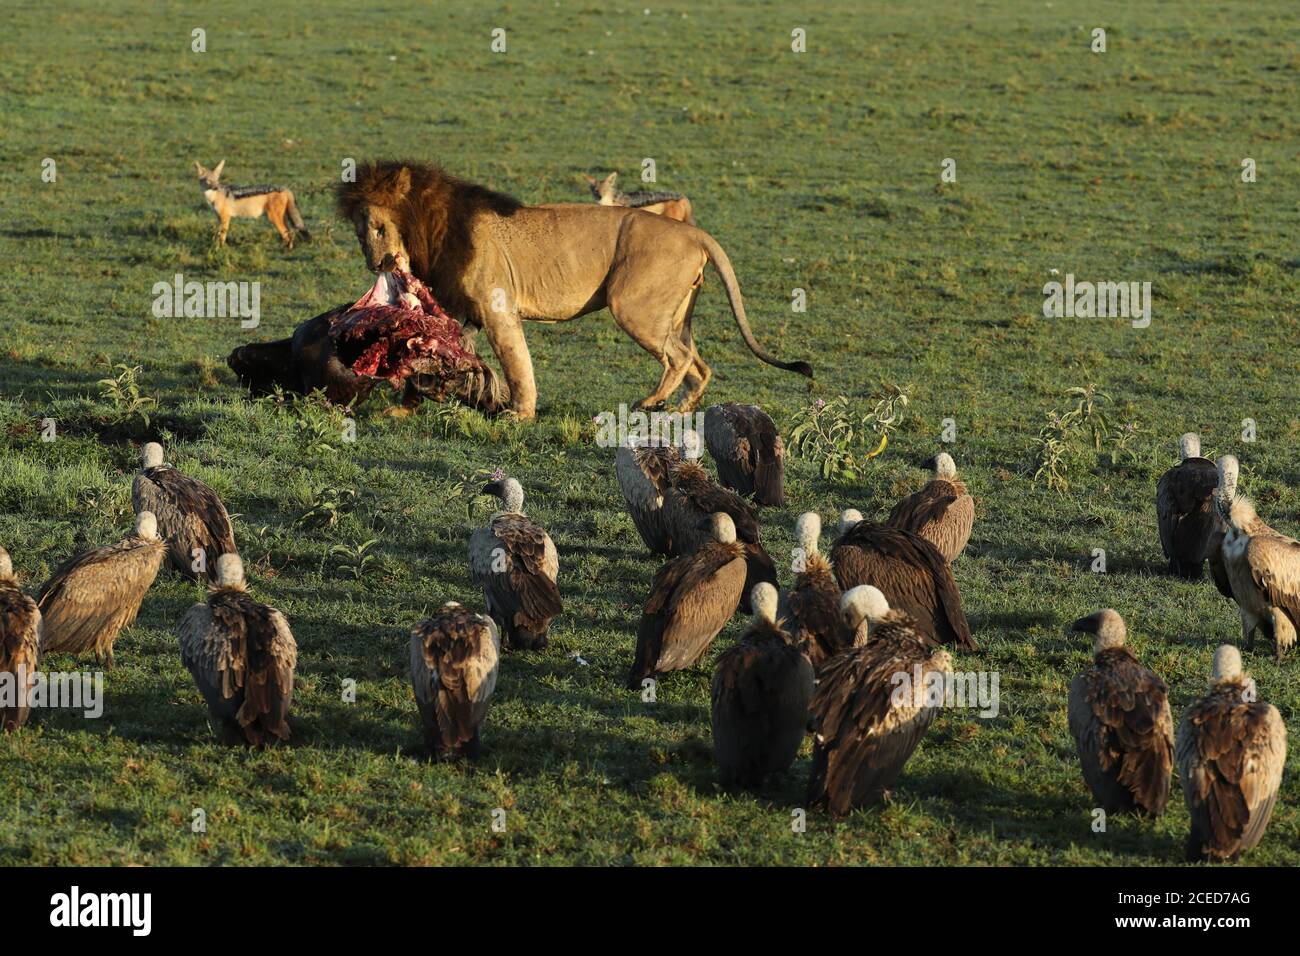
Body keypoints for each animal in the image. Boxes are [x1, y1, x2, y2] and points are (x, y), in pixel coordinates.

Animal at [336, 161, 812, 419]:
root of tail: (696, 233)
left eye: (378, 228)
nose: (376, 264)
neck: (430, 229)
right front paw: (405, 406)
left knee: (677, 358)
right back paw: (677, 411)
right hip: (676, 313)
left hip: (632, 304)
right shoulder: (463, 314)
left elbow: (516, 362)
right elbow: (434, 359)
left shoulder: (496, 306)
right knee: (700, 364)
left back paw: (650, 402)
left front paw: (519, 414)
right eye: (359, 234)